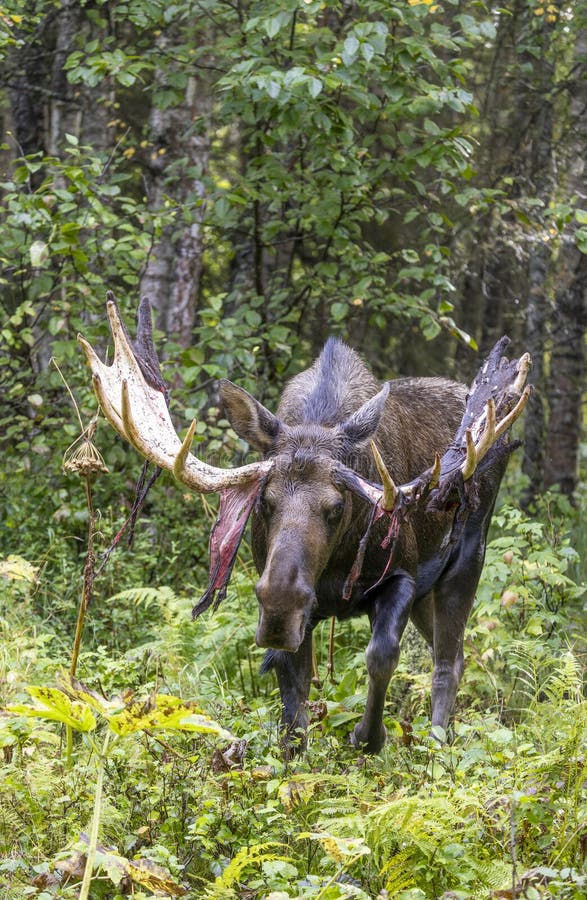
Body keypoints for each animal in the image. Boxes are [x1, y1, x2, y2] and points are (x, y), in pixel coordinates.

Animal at [79, 294, 530, 756]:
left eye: (336, 505)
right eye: (264, 501)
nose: (279, 606)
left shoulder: (401, 573)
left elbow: (382, 655)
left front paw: (369, 737)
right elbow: (293, 699)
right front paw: (294, 757)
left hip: (467, 552)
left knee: (448, 658)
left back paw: (438, 744)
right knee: (454, 651)